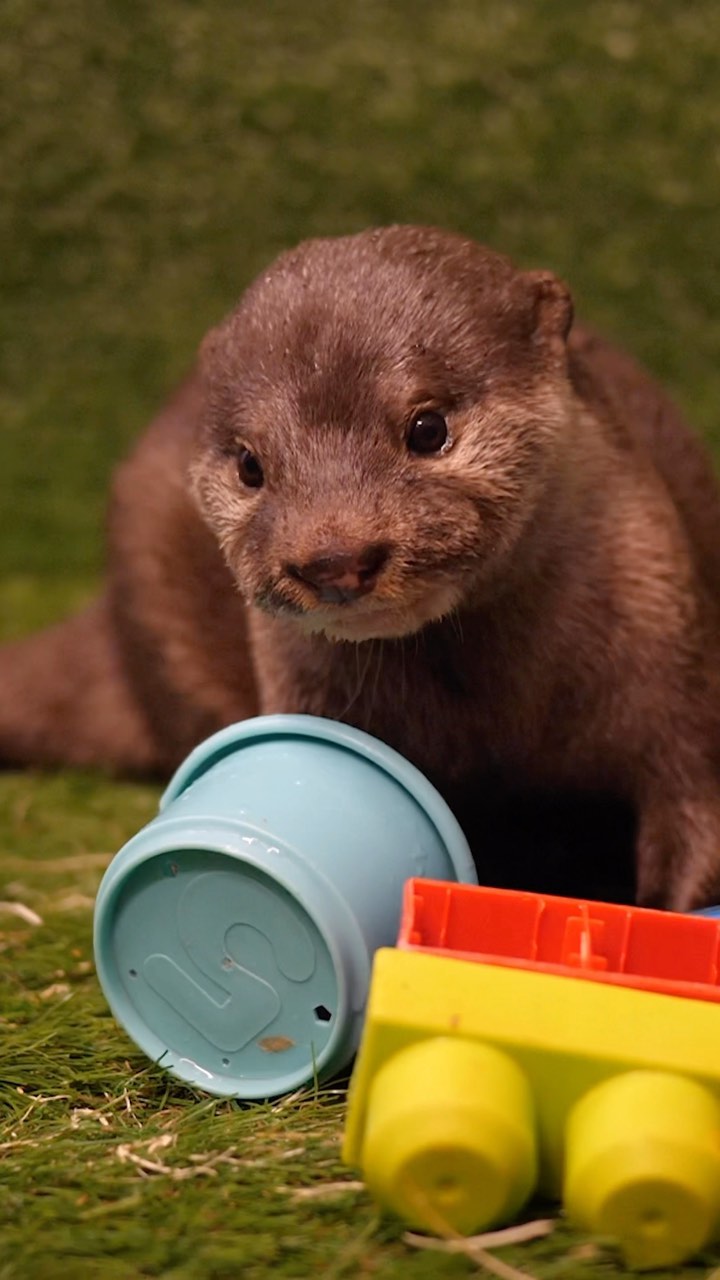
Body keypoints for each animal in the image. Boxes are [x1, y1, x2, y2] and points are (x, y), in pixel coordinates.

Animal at [3, 225, 720, 909]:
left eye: (428, 428)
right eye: (250, 465)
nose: (334, 558)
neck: (500, 716)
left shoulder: (670, 660)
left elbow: (694, 816)